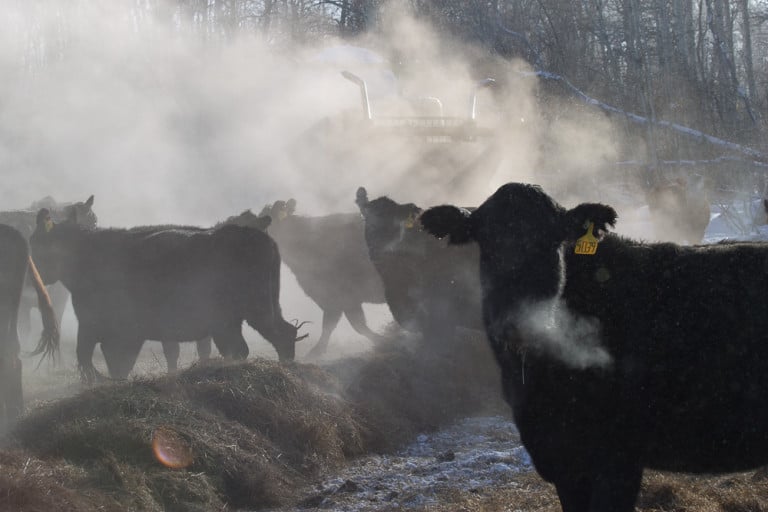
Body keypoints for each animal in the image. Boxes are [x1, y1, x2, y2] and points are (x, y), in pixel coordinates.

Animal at [30, 210, 305, 384]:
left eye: (37, 243)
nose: (32, 275)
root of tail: (263, 239)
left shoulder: (97, 325)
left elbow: (93, 356)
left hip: (249, 314)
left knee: (258, 343)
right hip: (254, 314)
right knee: (280, 334)